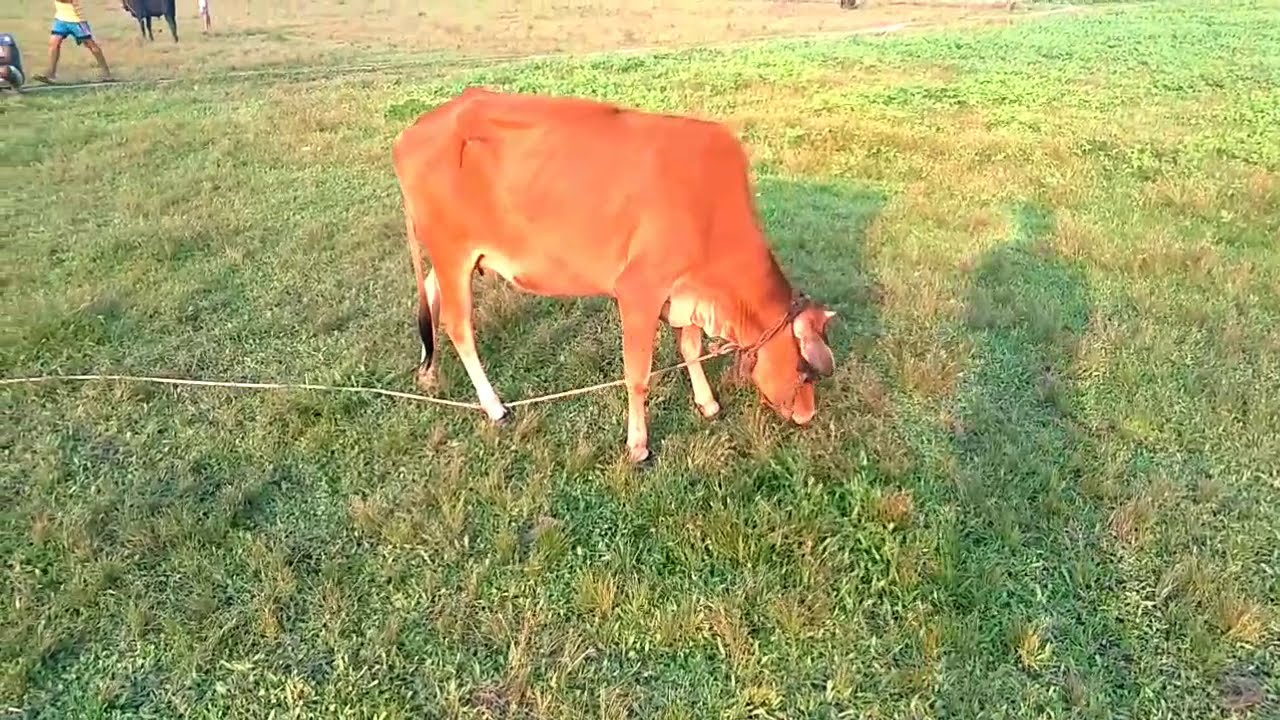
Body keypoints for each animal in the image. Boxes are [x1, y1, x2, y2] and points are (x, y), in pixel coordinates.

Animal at [392, 88, 838, 463]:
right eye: (804, 371)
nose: (807, 415)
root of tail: (414, 131)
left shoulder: (685, 293)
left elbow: (691, 348)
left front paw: (707, 403)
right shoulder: (639, 290)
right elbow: (637, 374)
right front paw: (638, 445)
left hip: (451, 257)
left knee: (429, 291)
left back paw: (429, 370)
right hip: (452, 251)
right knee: (459, 325)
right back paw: (494, 406)